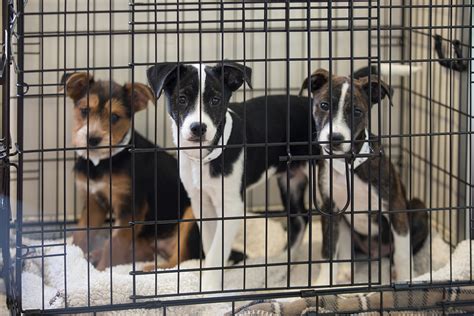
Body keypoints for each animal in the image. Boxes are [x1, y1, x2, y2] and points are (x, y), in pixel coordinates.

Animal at [60, 73, 200, 270]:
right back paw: (95, 255)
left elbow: (115, 243)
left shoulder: (131, 206)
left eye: (114, 117)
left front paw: (103, 271)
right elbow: (82, 232)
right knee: (146, 253)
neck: (103, 161)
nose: (92, 139)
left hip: (191, 216)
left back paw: (150, 268)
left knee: (180, 261)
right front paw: (75, 255)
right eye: (85, 111)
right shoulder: (94, 201)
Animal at [146, 62, 316, 292]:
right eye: (181, 99)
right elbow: (211, 245)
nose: (198, 128)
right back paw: (281, 265)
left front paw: (210, 288)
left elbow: (218, 248)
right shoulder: (202, 204)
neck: (205, 156)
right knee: (300, 218)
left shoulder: (231, 206)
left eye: (215, 100)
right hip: (291, 179)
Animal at [300, 68, 430, 284]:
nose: (335, 138)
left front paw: (406, 281)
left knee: (400, 251)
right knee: (346, 245)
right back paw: (346, 271)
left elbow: (403, 253)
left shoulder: (395, 206)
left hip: (418, 208)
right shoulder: (329, 208)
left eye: (356, 111)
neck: (348, 165)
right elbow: (328, 251)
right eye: (324, 105)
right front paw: (324, 283)